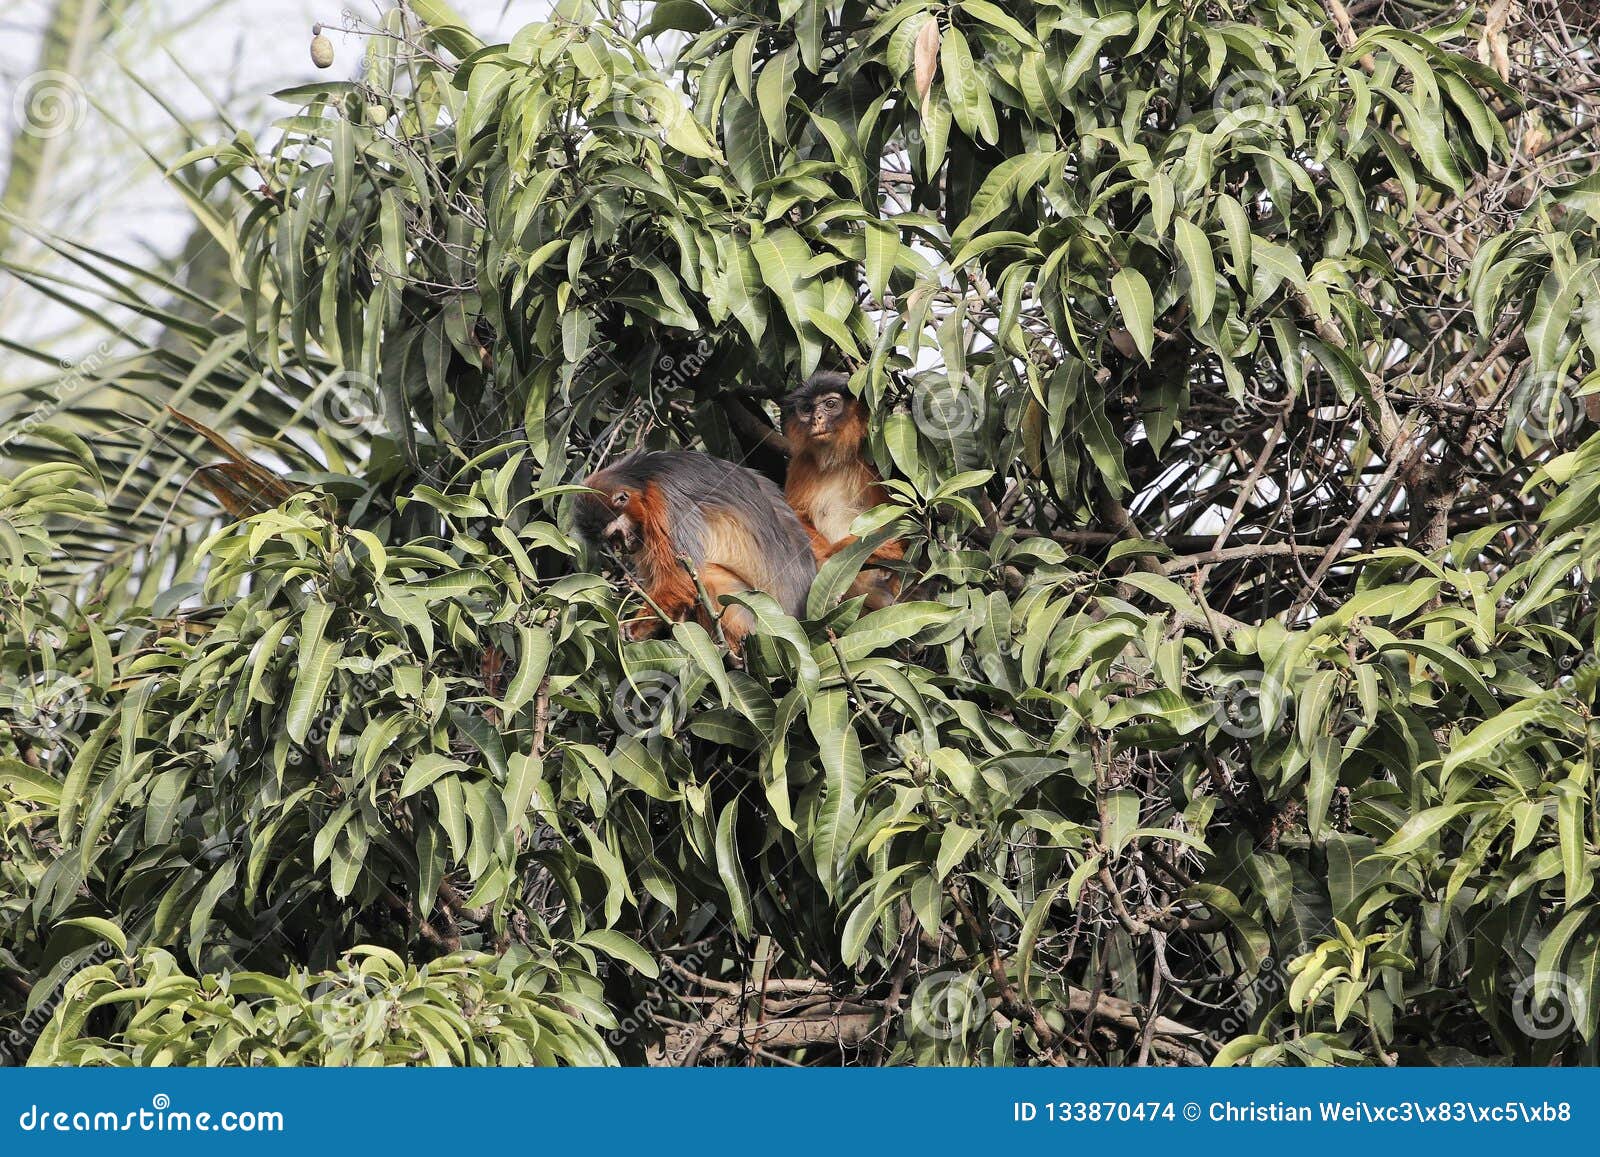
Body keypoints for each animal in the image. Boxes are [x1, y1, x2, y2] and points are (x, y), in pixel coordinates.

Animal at [574, 450, 817, 652]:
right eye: (611, 540)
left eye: (615, 535)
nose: (619, 548)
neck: (645, 479)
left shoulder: (666, 503)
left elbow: (679, 578)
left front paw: (634, 628)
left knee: (706, 576)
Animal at [780, 373, 903, 610]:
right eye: (807, 408)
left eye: (830, 404)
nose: (817, 418)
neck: (838, 459)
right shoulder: (802, 462)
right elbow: (795, 516)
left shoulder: (876, 462)